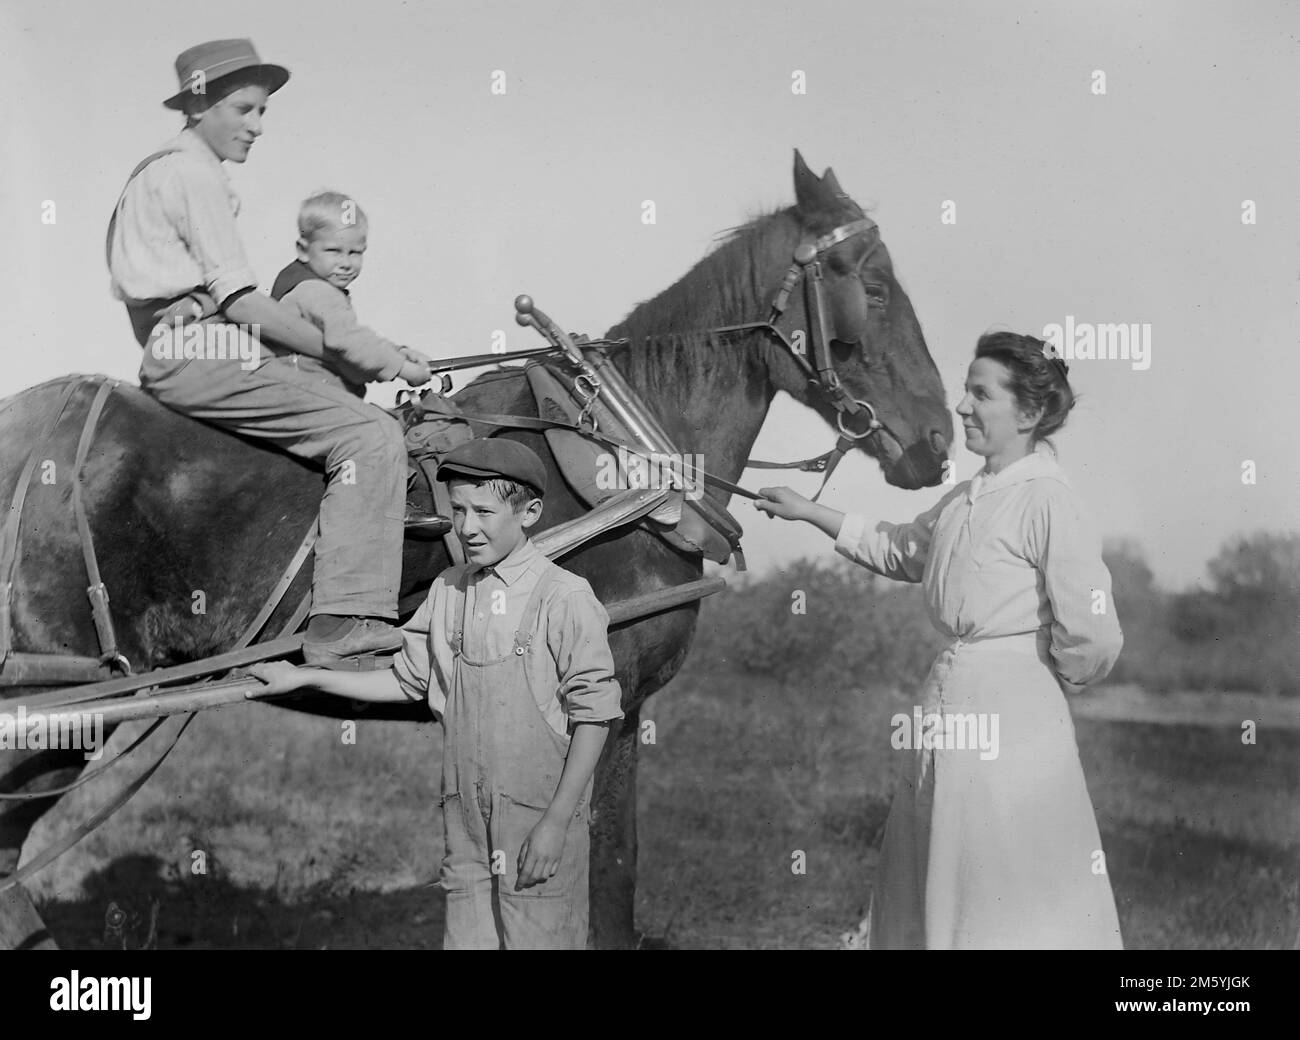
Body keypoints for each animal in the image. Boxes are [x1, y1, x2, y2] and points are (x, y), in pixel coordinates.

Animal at [0, 150, 956, 946]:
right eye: (870, 284)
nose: (937, 444)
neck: (619, 460)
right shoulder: (600, 705)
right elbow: (609, 874)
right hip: (54, 700)